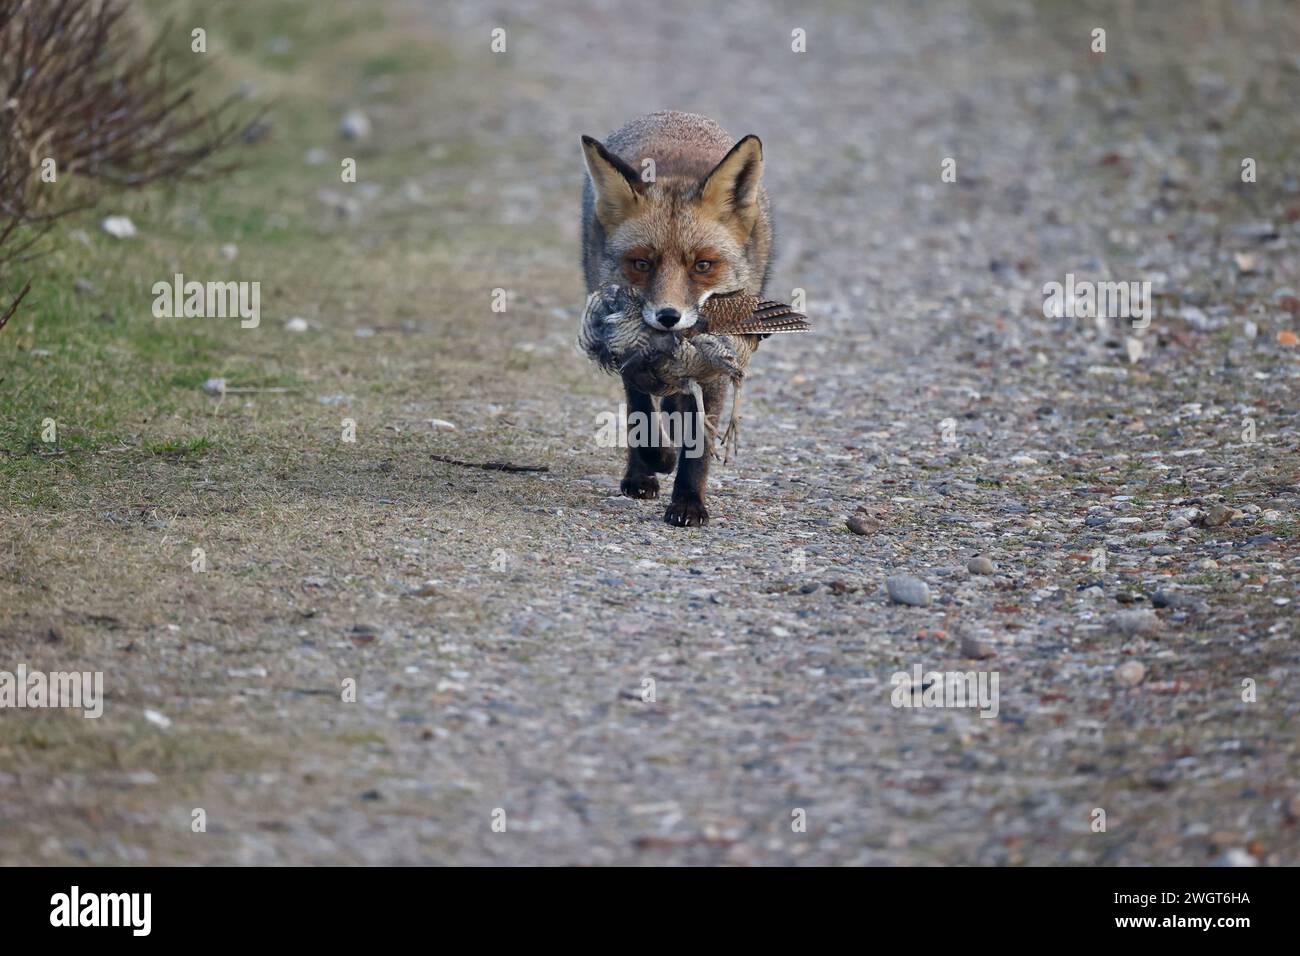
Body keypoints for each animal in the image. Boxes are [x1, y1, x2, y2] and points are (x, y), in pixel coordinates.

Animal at [580, 110, 773, 527]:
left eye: (702, 265)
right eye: (641, 264)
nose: (668, 317)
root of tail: (674, 116)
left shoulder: (718, 365)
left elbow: (699, 441)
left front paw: (688, 502)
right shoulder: (626, 352)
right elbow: (640, 411)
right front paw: (656, 459)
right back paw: (643, 471)